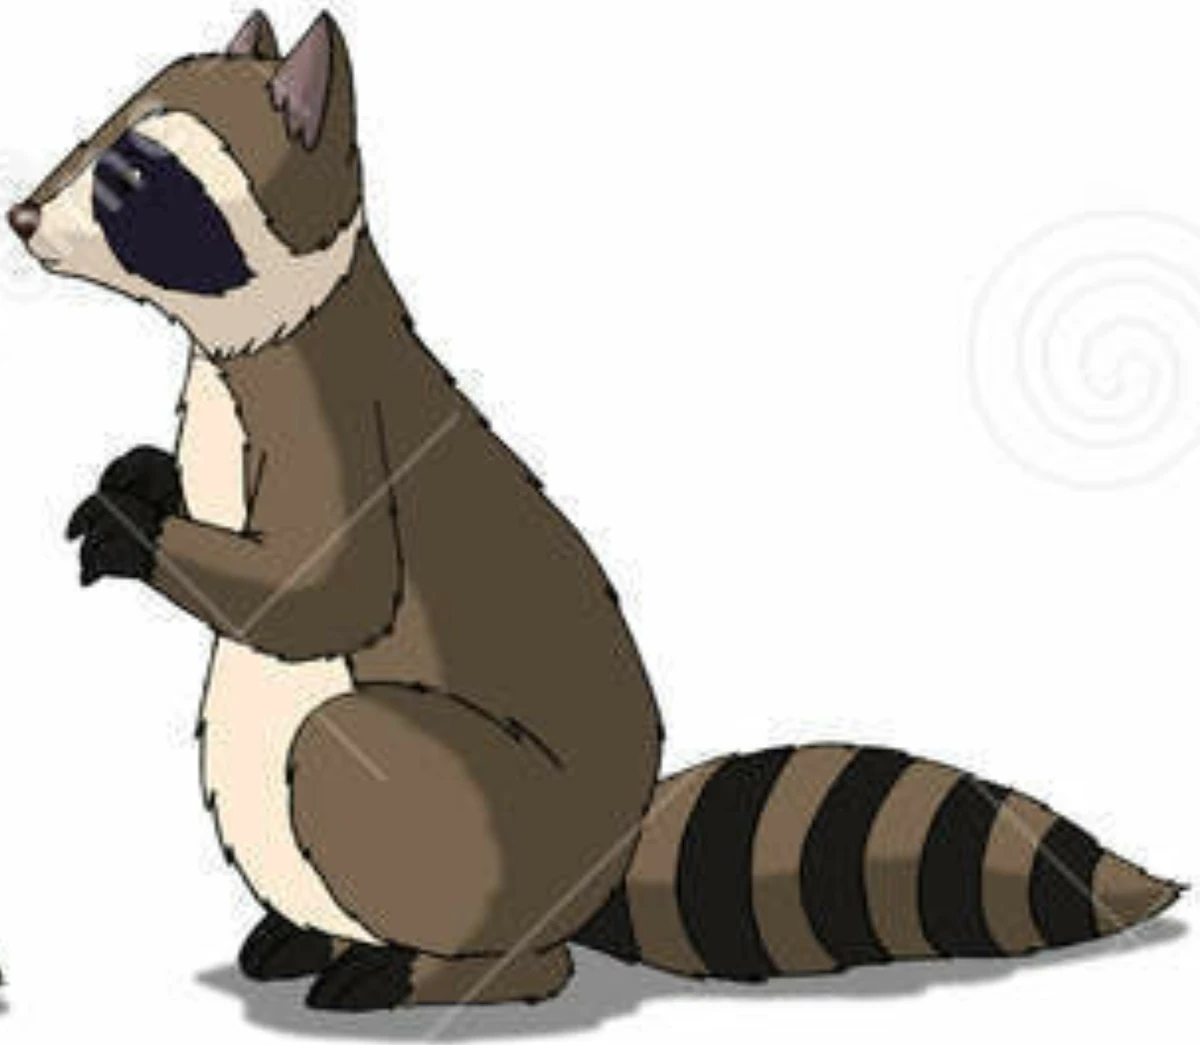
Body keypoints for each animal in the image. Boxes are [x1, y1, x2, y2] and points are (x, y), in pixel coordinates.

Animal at [9, 10, 1181, 1013]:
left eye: (129, 173)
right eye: (101, 128)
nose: (20, 217)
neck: (240, 345)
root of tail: (598, 870)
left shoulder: (341, 433)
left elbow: (321, 594)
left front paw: (143, 528)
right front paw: (147, 479)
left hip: (482, 829)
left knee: (359, 747)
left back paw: (434, 971)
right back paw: (315, 938)